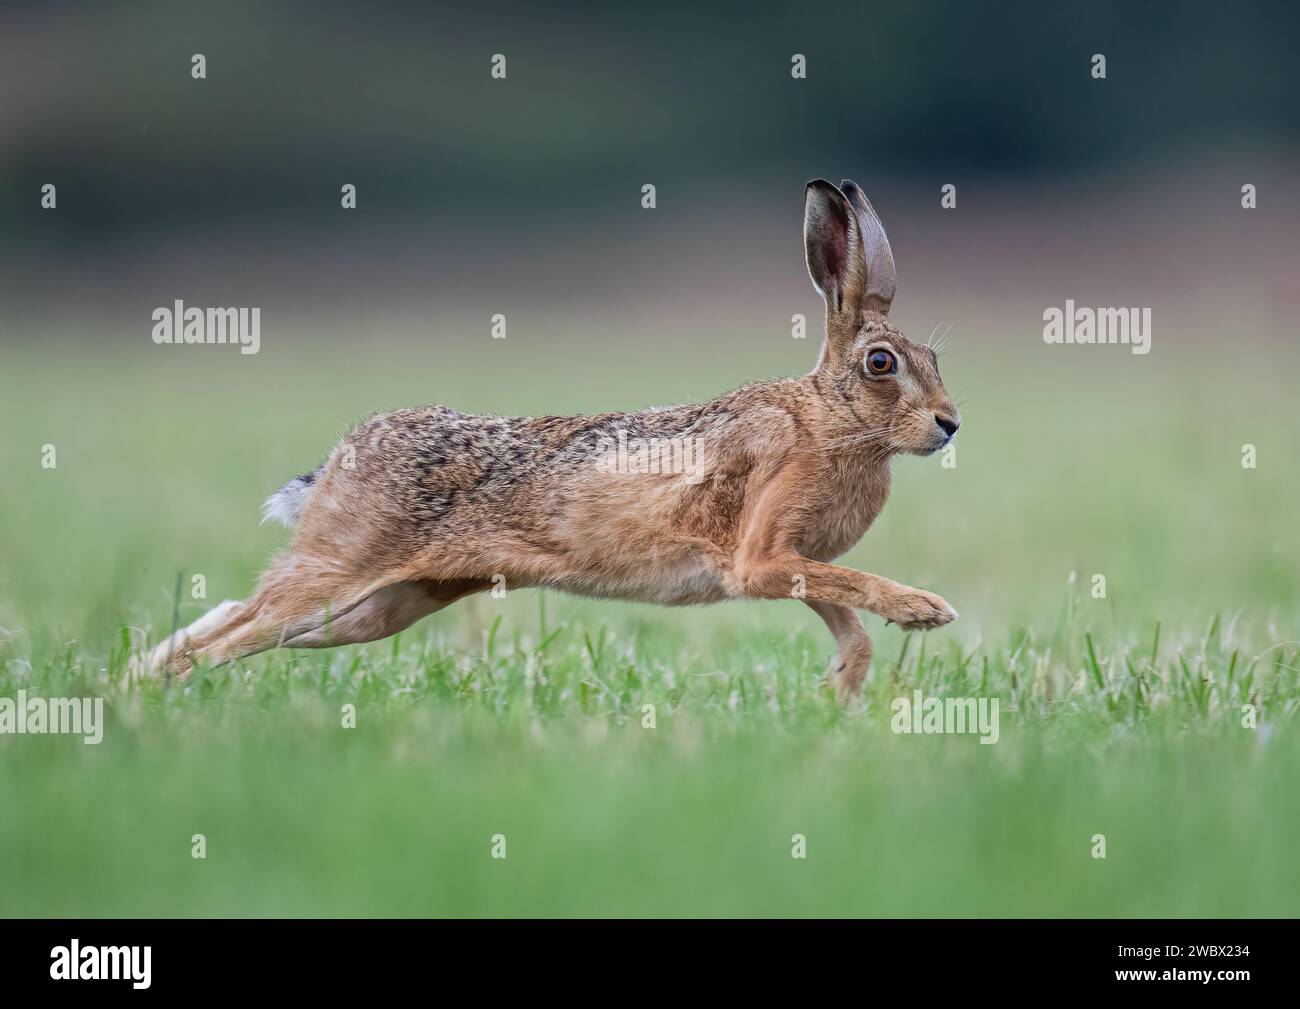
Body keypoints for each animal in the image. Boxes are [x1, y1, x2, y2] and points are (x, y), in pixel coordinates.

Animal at [139, 179, 960, 702]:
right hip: (344, 568)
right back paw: (147, 699)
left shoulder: (788, 564)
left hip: (387, 603)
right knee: (236, 630)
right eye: (881, 364)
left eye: (935, 358)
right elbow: (842, 587)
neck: (829, 418)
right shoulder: (760, 555)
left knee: (234, 621)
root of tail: (343, 457)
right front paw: (926, 611)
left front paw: (842, 690)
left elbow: (844, 616)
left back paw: (136, 685)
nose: (950, 424)